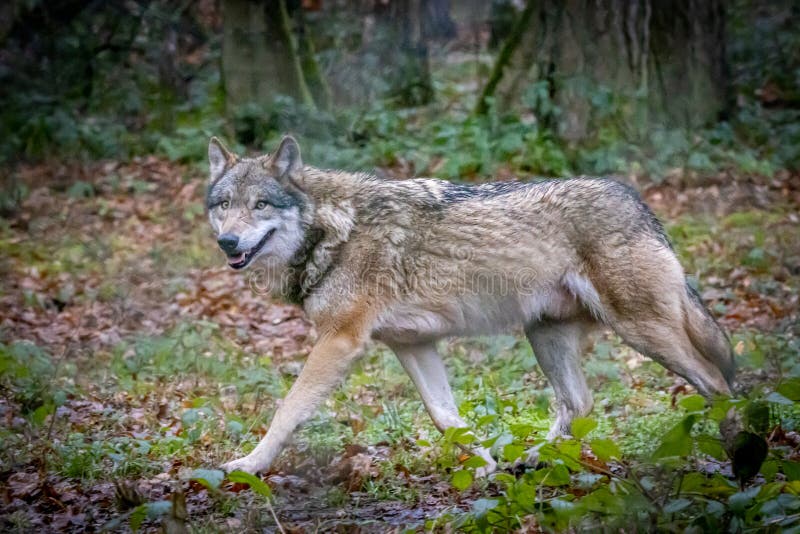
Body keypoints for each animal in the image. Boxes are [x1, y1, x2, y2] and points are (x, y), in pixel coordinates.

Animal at [206, 135, 734, 476]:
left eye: (260, 205)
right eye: (224, 204)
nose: (227, 241)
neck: (334, 229)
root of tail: (635, 198)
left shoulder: (340, 341)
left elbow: (288, 410)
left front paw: (248, 465)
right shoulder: (412, 345)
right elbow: (447, 420)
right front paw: (485, 468)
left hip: (643, 332)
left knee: (716, 382)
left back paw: (737, 461)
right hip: (545, 336)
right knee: (580, 403)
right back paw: (533, 460)